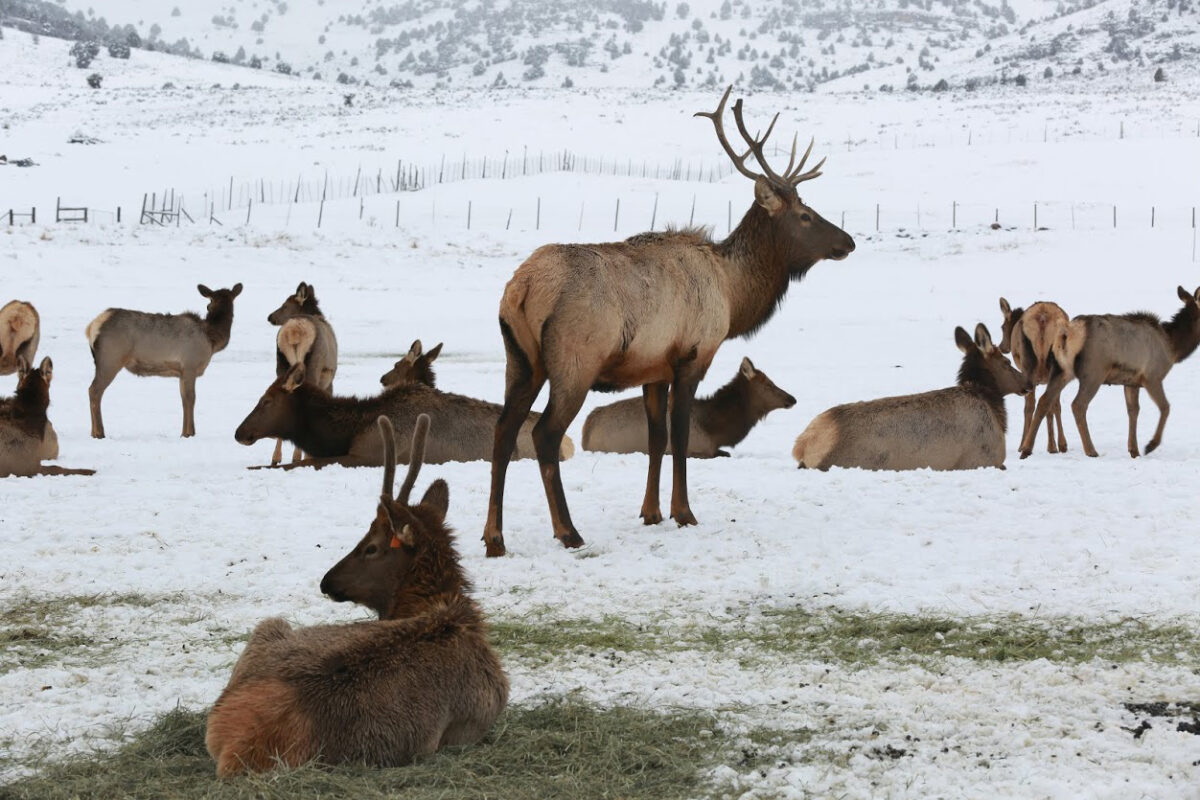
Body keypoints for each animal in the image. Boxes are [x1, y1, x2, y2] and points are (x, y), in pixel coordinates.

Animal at [86, 283, 242, 438]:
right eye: (208, 304)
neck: (211, 339)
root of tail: (91, 327)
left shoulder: (181, 372)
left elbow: (183, 399)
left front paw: (186, 432)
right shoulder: (190, 365)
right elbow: (190, 398)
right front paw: (189, 433)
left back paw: (93, 432)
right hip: (111, 358)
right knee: (94, 390)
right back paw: (99, 433)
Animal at [266, 282, 339, 465]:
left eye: (284, 305)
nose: (270, 317)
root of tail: (294, 332)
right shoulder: (329, 381)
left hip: (281, 364)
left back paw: (276, 458)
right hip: (313, 367)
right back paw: (300, 457)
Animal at [998, 298, 1071, 455]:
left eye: (1003, 327)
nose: (1002, 347)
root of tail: (1042, 319)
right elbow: (1054, 407)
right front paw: (1055, 446)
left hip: (1028, 366)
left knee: (1030, 406)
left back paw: (1024, 445)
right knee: (1050, 404)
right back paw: (1056, 445)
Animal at [1019, 286, 1200, 460]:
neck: (1173, 348)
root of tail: (1067, 332)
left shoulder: (1131, 381)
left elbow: (1133, 411)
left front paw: (1134, 450)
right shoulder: (1152, 376)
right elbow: (1165, 407)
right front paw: (1150, 445)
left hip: (1062, 370)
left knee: (1044, 401)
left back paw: (1026, 450)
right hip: (1093, 372)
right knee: (1078, 404)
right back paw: (1091, 450)